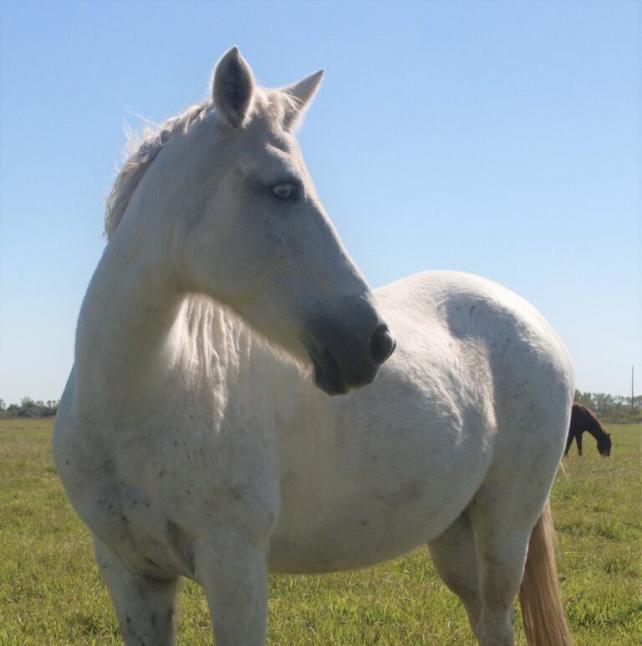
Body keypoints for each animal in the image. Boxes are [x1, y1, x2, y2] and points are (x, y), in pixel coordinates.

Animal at [53, 48, 575, 646]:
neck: (138, 401)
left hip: (506, 525)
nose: (373, 344)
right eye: (284, 189)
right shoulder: (129, 571)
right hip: (453, 530)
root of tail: (528, 317)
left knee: (496, 611)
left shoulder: (235, 568)